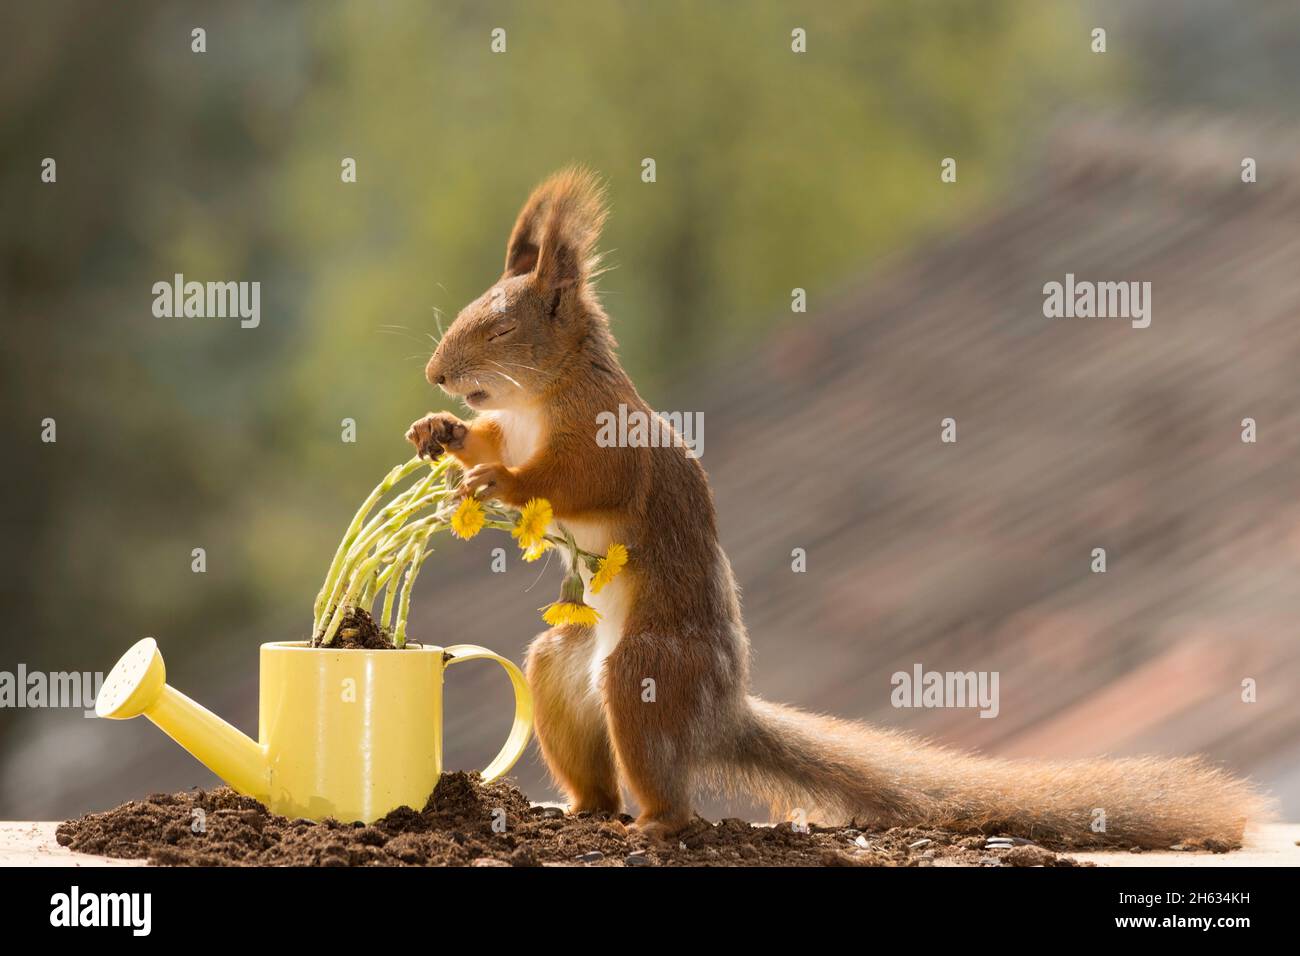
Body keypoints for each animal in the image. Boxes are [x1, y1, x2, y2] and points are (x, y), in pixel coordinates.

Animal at [407, 167, 1268, 847]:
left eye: (500, 326)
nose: (435, 374)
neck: (539, 398)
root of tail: (720, 712)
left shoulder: (605, 438)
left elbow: (577, 481)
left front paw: (501, 486)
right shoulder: (516, 426)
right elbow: (491, 439)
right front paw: (444, 435)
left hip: (647, 672)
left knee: (664, 784)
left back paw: (652, 825)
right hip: (561, 671)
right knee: (591, 759)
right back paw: (584, 809)